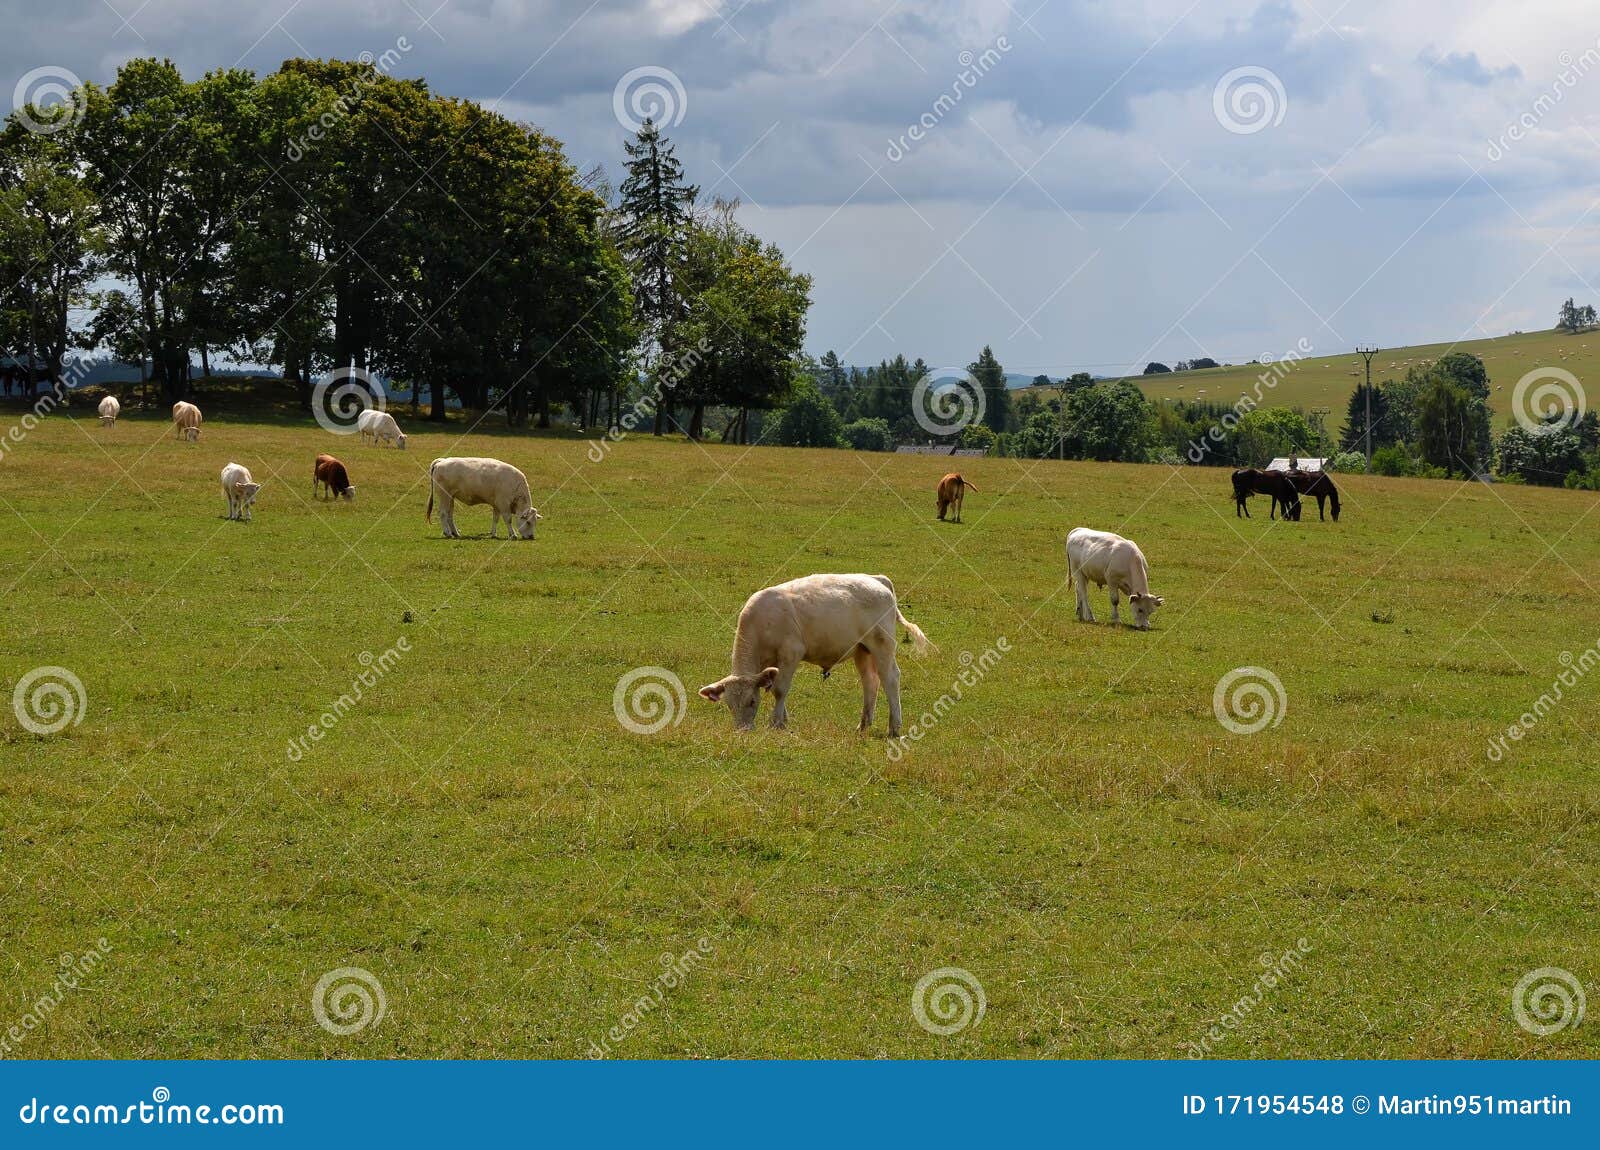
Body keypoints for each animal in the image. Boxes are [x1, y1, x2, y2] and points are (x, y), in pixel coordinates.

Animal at [699, 573, 933, 736]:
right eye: (729, 705)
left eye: (752, 701)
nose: (743, 730)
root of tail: (876, 579)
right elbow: (776, 688)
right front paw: (784, 720)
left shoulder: (791, 652)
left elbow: (780, 689)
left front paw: (776, 723)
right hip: (862, 650)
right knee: (870, 682)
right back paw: (863, 725)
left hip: (882, 645)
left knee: (890, 678)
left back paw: (894, 727)